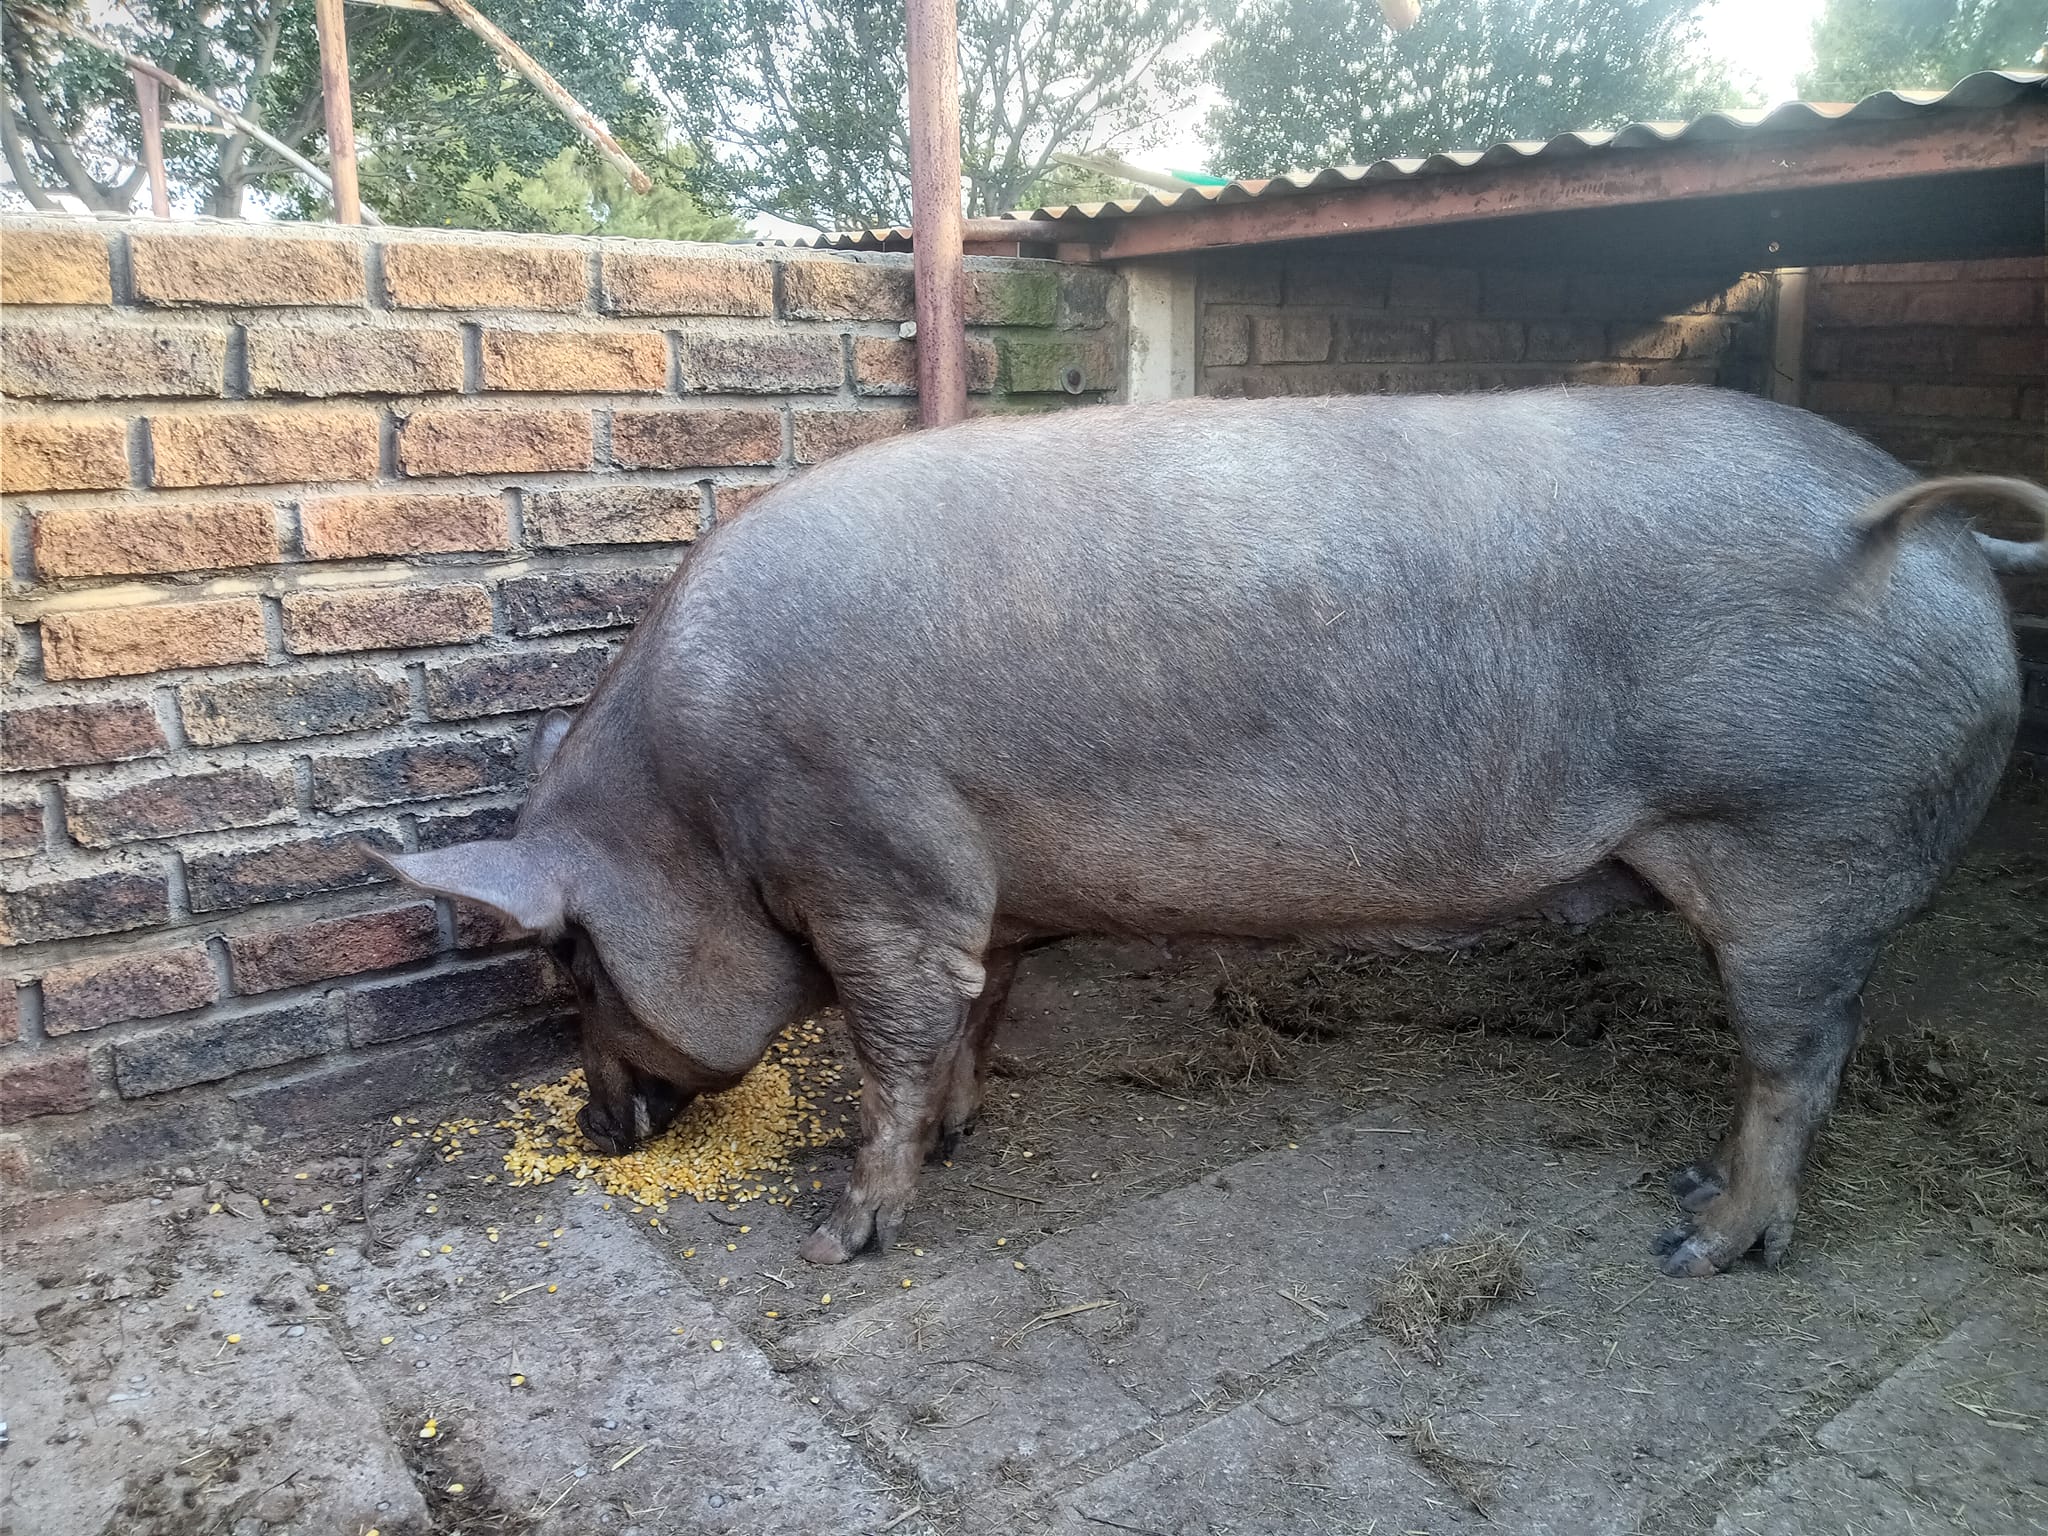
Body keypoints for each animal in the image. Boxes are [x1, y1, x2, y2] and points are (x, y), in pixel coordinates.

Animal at [377, 388, 2047, 1277]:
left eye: (567, 967)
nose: (592, 1126)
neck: (696, 804)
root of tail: (1919, 515)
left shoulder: (875, 864)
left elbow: (894, 1042)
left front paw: (841, 1238)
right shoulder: (989, 889)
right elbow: (983, 1013)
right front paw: (971, 1131)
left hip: (1805, 850)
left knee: (1797, 1059)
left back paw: (1701, 1242)